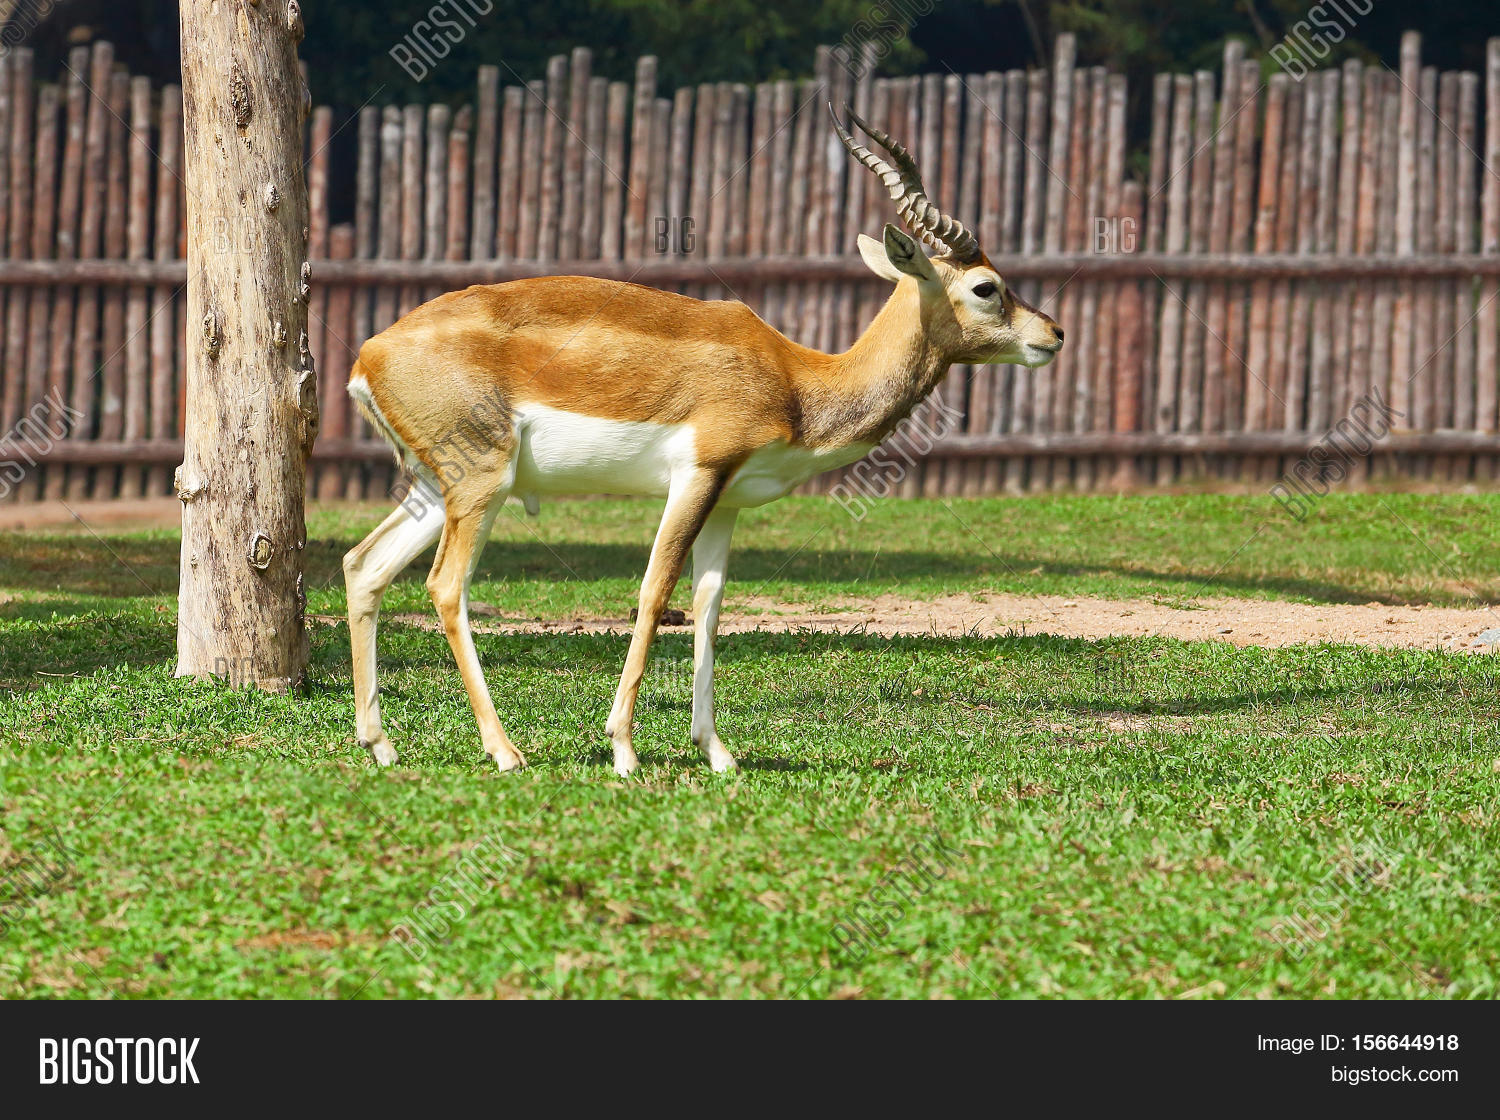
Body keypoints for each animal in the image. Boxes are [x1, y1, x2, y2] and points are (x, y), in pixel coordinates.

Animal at [342, 105, 1063, 777]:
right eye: (986, 287)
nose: (1053, 335)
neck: (798, 380)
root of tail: (369, 354)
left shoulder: (728, 500)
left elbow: (709, 605)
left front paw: (716, 751)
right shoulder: (697, 476)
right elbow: (654, 592)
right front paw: (624, 749)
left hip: (435, 489)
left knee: (364, 566)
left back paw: (381, 745)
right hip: (481, 485)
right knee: (446, 586)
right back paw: (504, 751)